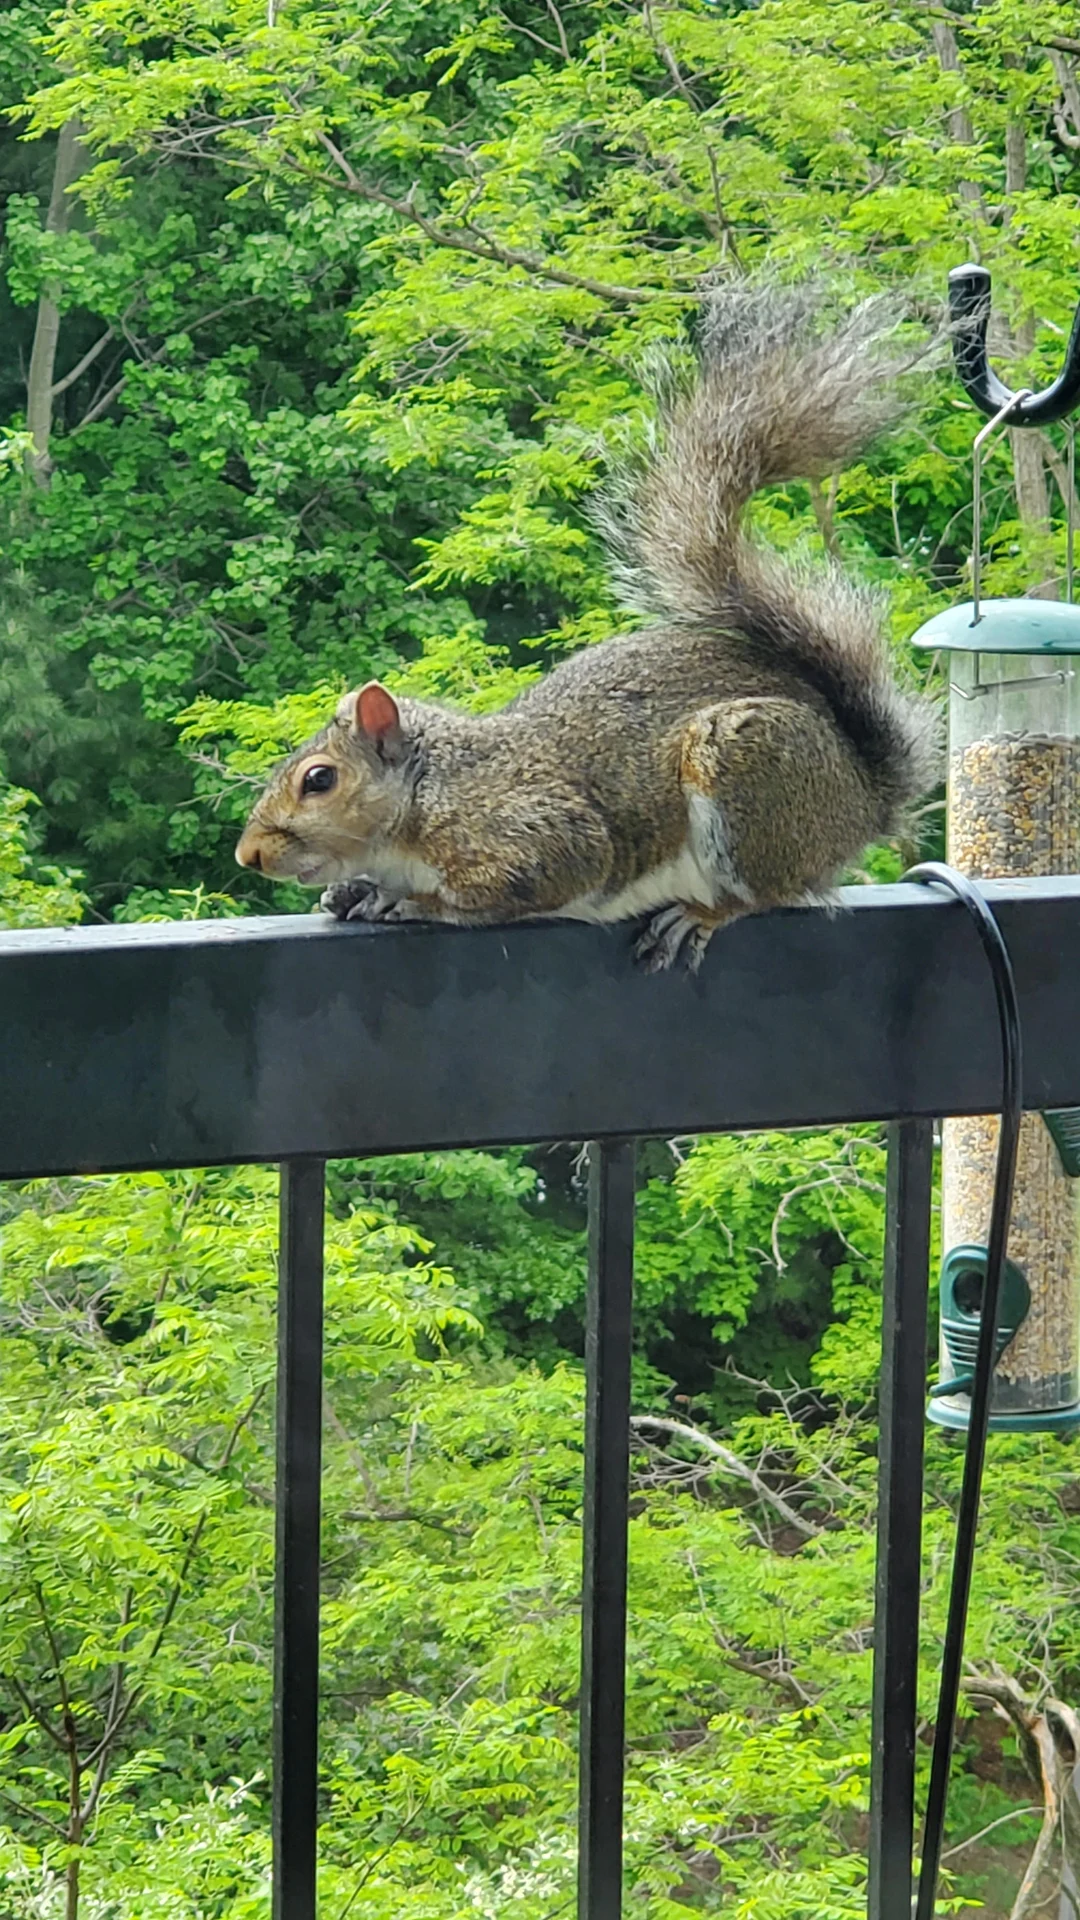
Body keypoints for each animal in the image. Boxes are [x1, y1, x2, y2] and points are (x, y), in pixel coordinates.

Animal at [235, 283, 938, 971]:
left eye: (318, 780)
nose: (250, 855)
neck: (428, 792)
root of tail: (863, 799)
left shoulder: (536, 833)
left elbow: (524, 883)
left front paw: (406, 901)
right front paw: (349, 891)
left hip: (748, 769)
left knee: (768, 891)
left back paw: (701, 913)